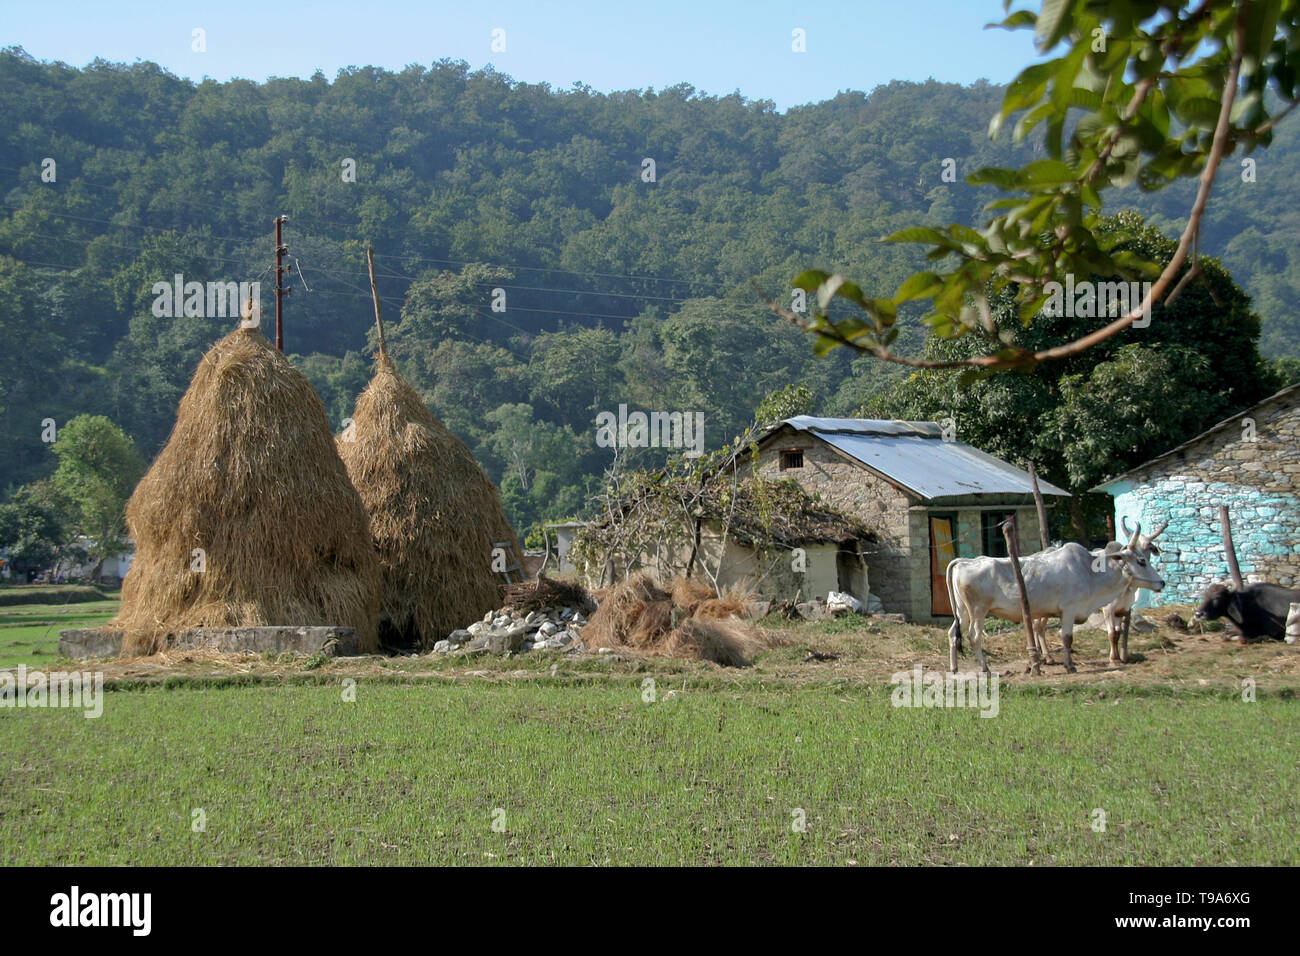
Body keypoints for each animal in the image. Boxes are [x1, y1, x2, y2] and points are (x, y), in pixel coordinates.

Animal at [946, 523, 1165, 674]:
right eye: (1141, 561)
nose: (1161, 583)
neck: (1090, 572)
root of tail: (964, 562)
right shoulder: (1069, 609)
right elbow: (1067, 638)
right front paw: (1070, 666)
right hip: (978, 611)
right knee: (974, 637)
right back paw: (986, 669)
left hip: (963, 612)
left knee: (953, 634)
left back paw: (954, 668)